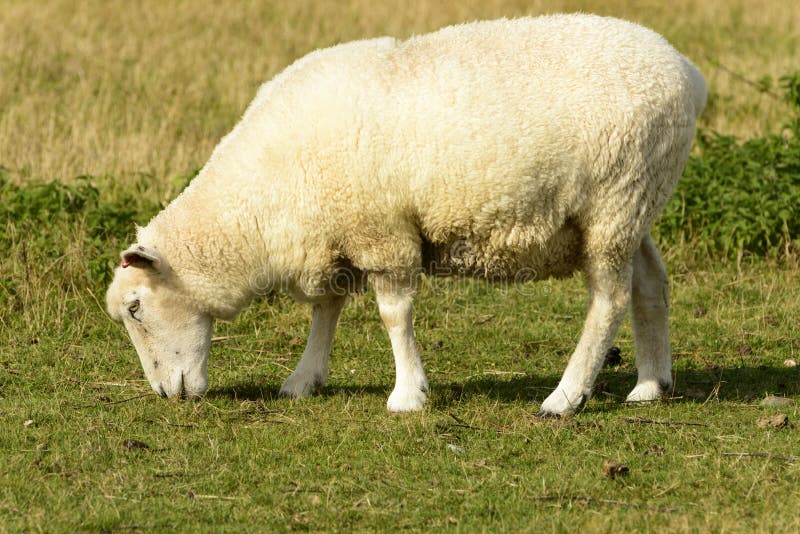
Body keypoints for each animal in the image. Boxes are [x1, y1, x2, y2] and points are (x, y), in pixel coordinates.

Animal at [106, 14, 706, 416]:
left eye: (136, 309)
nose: (166, 393)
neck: (261, 202)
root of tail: (687, 72)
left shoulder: (382, 232)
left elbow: (394, 315)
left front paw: (407, 395)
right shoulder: (338, 234)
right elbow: (325, 310)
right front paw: (304, 378)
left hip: (613, 203)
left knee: (609, 301)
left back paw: (566, 396)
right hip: (635, 205)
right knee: (651, 285)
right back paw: (650, 386)